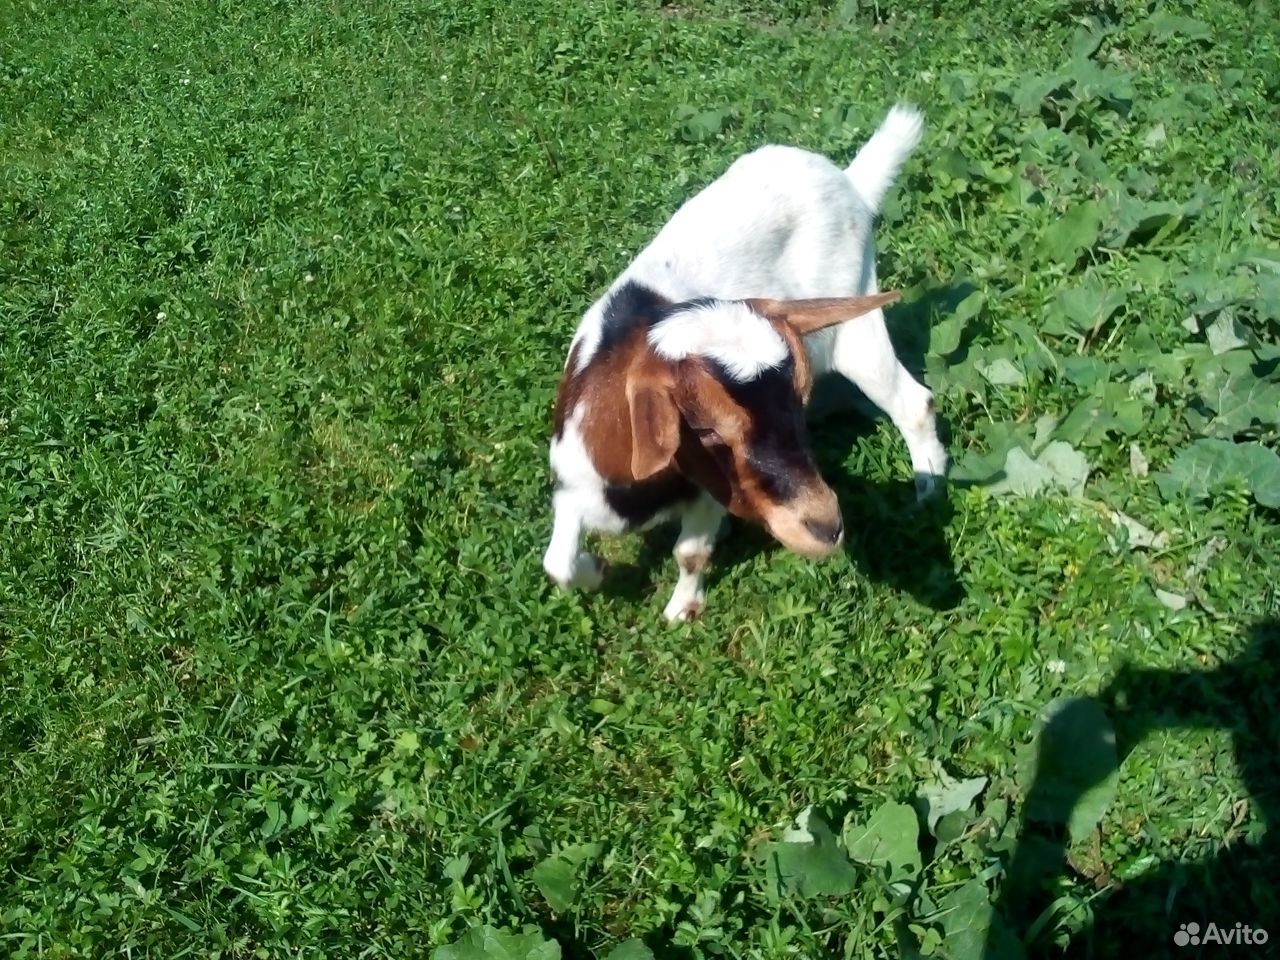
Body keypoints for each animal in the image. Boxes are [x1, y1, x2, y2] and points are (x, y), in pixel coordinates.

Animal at [543, 104, 947, 622]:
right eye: (706, 428)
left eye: (797, 403)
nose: (827, 526)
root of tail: (849, 183)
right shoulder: (575, 481)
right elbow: (557, 564)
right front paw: (596, 571)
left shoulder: (710, 493)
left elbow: (690, 552)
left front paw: (682, 609)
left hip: (855, 315)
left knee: (913, 402)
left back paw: (928, 488)